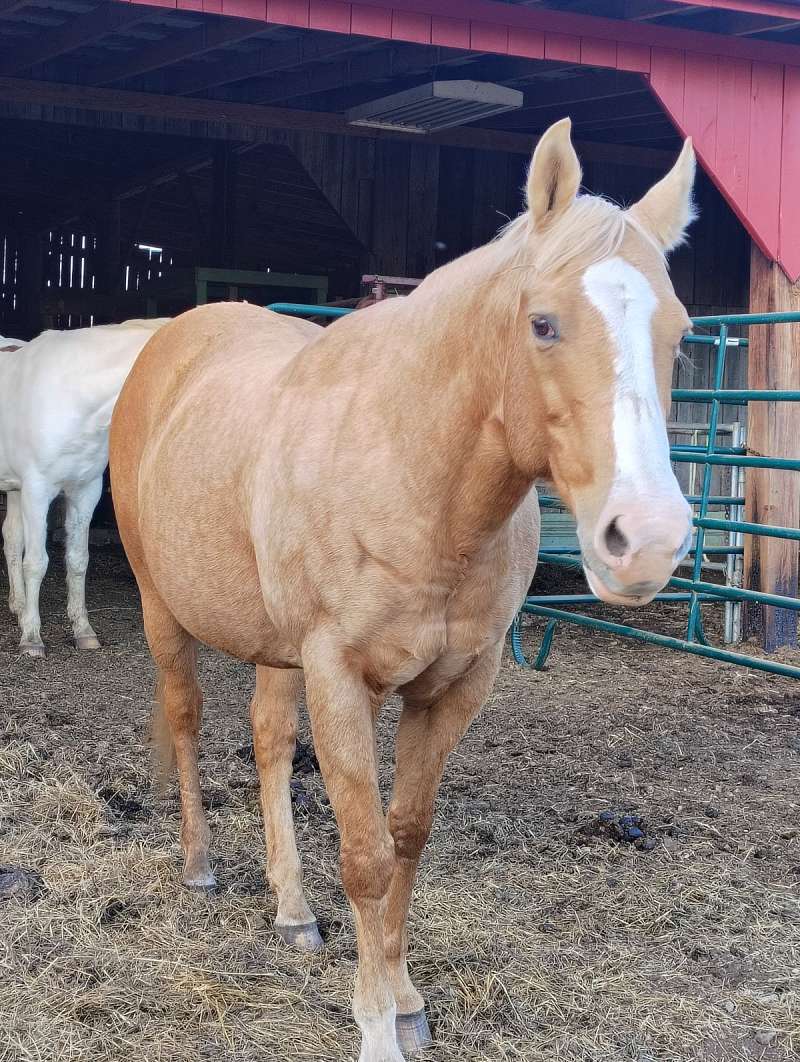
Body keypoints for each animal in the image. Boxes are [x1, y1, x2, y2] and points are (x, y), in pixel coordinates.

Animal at [1, 317, 170, 656]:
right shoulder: (37, 492)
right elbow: (36, 563)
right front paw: (32, 639)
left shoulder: (85, 491)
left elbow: (78, 561)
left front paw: (83, 631)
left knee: (11, 538)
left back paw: (19, 605)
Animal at [109, 119, 696, 1062]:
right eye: (543, 323)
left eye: (680, 331)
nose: (647, 538)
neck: (417, 474)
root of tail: (170, 340)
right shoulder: (342, 679)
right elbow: (366, 857)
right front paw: (377, 1026)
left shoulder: (453, 686)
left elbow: (407, 841)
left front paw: (407, 996)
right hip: (167, 609)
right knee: (188, 719)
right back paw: (199, 865)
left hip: (277, 649)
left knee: (269, 739)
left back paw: (292, 910)